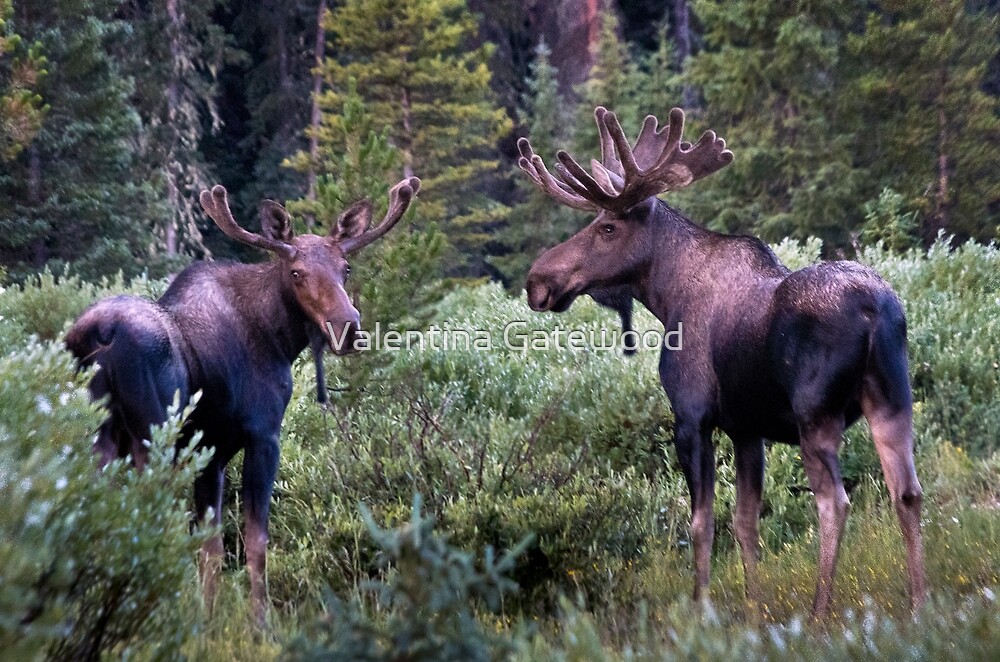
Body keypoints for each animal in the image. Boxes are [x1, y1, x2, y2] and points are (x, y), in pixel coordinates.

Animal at [65, 177, 420, 626]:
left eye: (346, 268)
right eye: (296, 272)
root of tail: (97, 334)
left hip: (97, 438)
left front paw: (208, 620)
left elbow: (211, 547)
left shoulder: (210, 454)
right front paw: (260, 625)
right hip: (151, 438)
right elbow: (256, 541)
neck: (279, 340)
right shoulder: (263, 435)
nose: (347, 327)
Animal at [517, 106, 926, 617]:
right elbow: (746, 521)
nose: (537, 280)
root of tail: (876, 310)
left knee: (835, 502)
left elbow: (702, 522)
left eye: (607, 227)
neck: (666, 296)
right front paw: (754, 607)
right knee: (907, 492)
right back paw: (919, 606)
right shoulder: (747, 428)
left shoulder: (693, 417)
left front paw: (701, 608)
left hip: (816, 414)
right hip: (892, 399)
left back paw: (819, 613)